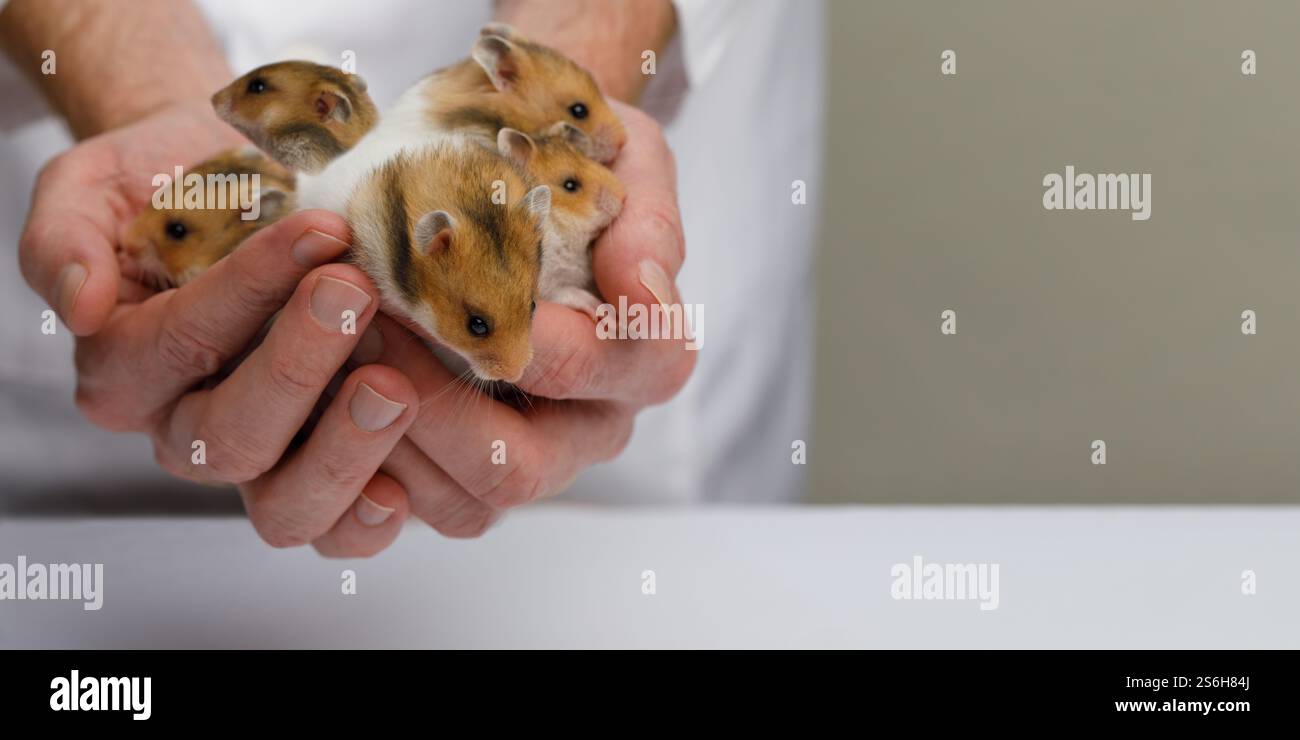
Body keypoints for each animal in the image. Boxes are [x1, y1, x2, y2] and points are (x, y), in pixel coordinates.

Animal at [496, 124, 624, 316]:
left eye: (585, 157)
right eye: (570, 185)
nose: (623, 195)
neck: (557, 224)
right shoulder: (546, 285)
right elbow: (568, 292)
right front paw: (597, 306)